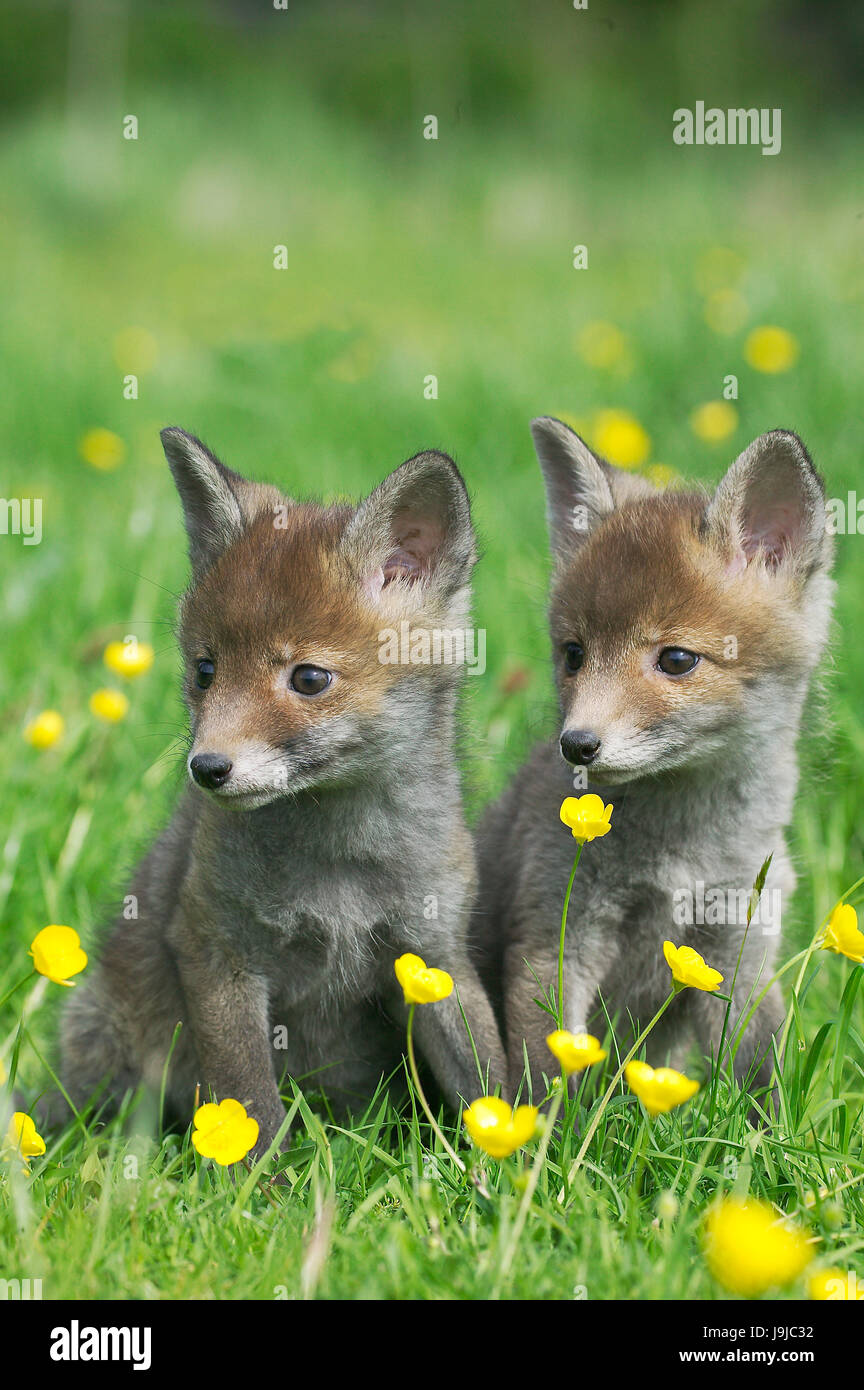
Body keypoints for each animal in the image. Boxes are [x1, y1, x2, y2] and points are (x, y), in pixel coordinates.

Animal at [60, 427, 507, 1154]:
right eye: (205, 670)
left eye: (309, 679)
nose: (207, 768)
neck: (341, 871)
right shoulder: (216, 951)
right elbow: (250, 1107)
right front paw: (259, 1182)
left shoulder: (433, 953)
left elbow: (490, 1082)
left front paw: (528, 1161)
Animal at [471, 416, 833, 1100]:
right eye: (574, 653)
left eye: (677, 660)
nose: (577, 745)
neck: (681, 855)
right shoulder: (555, 937)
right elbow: (549, 1074)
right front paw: (534, 1133)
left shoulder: (740, 944)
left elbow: (759, 1082)